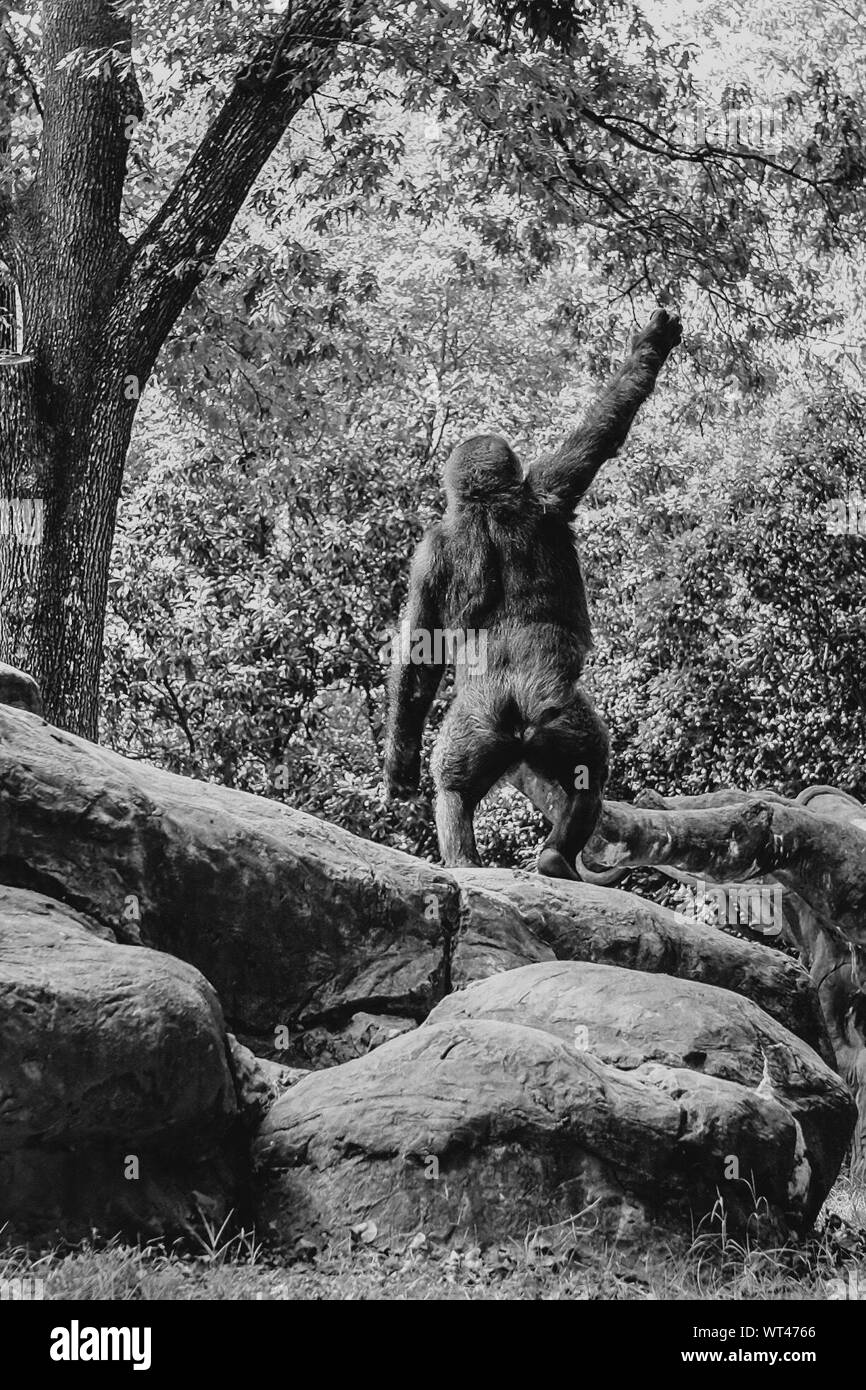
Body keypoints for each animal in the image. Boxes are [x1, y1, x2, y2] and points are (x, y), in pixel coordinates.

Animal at [383, 308, 682, 880]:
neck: (485, 504)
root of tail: (517, 713)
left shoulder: (428, 553)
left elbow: (420, 651)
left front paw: (399, 762)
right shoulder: (549, 487)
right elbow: (603, 429)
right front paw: (653, 344)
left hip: (482, 729)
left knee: (454, 788)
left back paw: (470, 858)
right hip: (560, 720)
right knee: (588, 772)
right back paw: (552, 857)